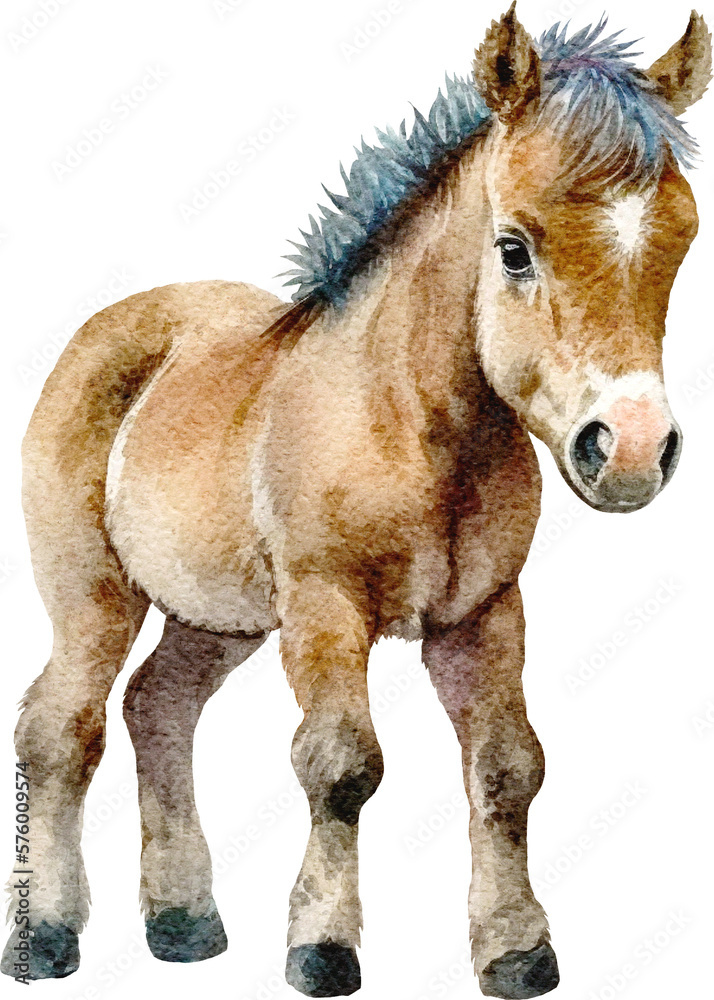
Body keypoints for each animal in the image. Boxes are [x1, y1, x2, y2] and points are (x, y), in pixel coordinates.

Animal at [2, 5, 711, 998]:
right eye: (514, 248)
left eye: (680, 242)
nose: (634, 450)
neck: (410, 421)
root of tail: (111, 326)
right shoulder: (324, 608)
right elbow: (340, 766)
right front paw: (322, 948)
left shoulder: (483, 613)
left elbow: (507, 767)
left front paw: (518, 951)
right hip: (94, 599)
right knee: (60, 726)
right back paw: (46, 936)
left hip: (216, 616)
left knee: (158, 706)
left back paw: (183, 922)